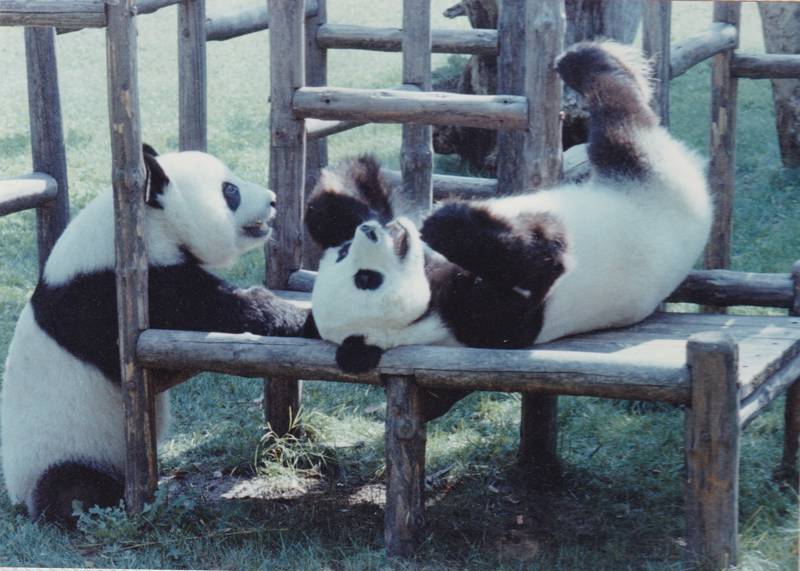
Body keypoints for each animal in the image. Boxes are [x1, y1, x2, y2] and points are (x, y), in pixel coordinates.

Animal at [1, 145, 315, 526]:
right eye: (231, 191)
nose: (272, 199)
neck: (143, 225)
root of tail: (15, 495)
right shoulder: (106, 294)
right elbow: (217, 311)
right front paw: (304, 319)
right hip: (60, 452)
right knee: (69, 487)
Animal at [304, 41, 712, 417]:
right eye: (366, 278)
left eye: (347, 256)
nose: (372, 233)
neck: (427, 318)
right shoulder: (488, 319)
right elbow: (543, 262)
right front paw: (449, 222)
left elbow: (335, 207)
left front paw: (352, 197)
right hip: (649, 176)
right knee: (620, 119)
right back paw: (589, 59)